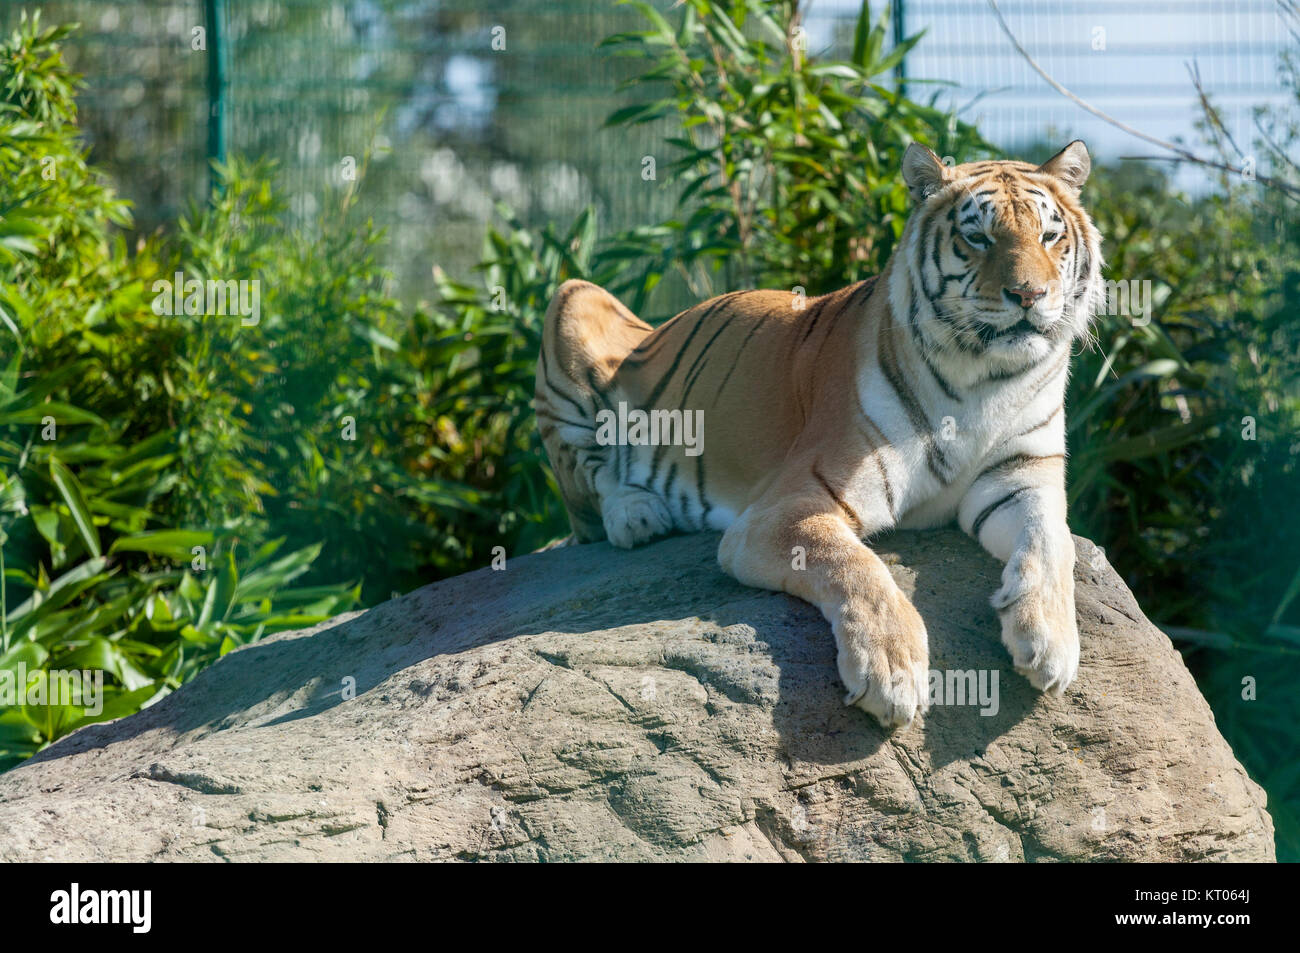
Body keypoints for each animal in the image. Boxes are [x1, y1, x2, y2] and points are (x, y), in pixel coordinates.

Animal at [533, 141, 1103, 728]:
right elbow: (855, 564)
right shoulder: (787, 506)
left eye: (1049, 236)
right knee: (590, 493)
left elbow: (1052, 540)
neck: (986, 381)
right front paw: (892, 667)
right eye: (978, 238)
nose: (1030, 294)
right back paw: (637, 515)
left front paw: (1050, 640)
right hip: (571, 301)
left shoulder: (1021, 478)